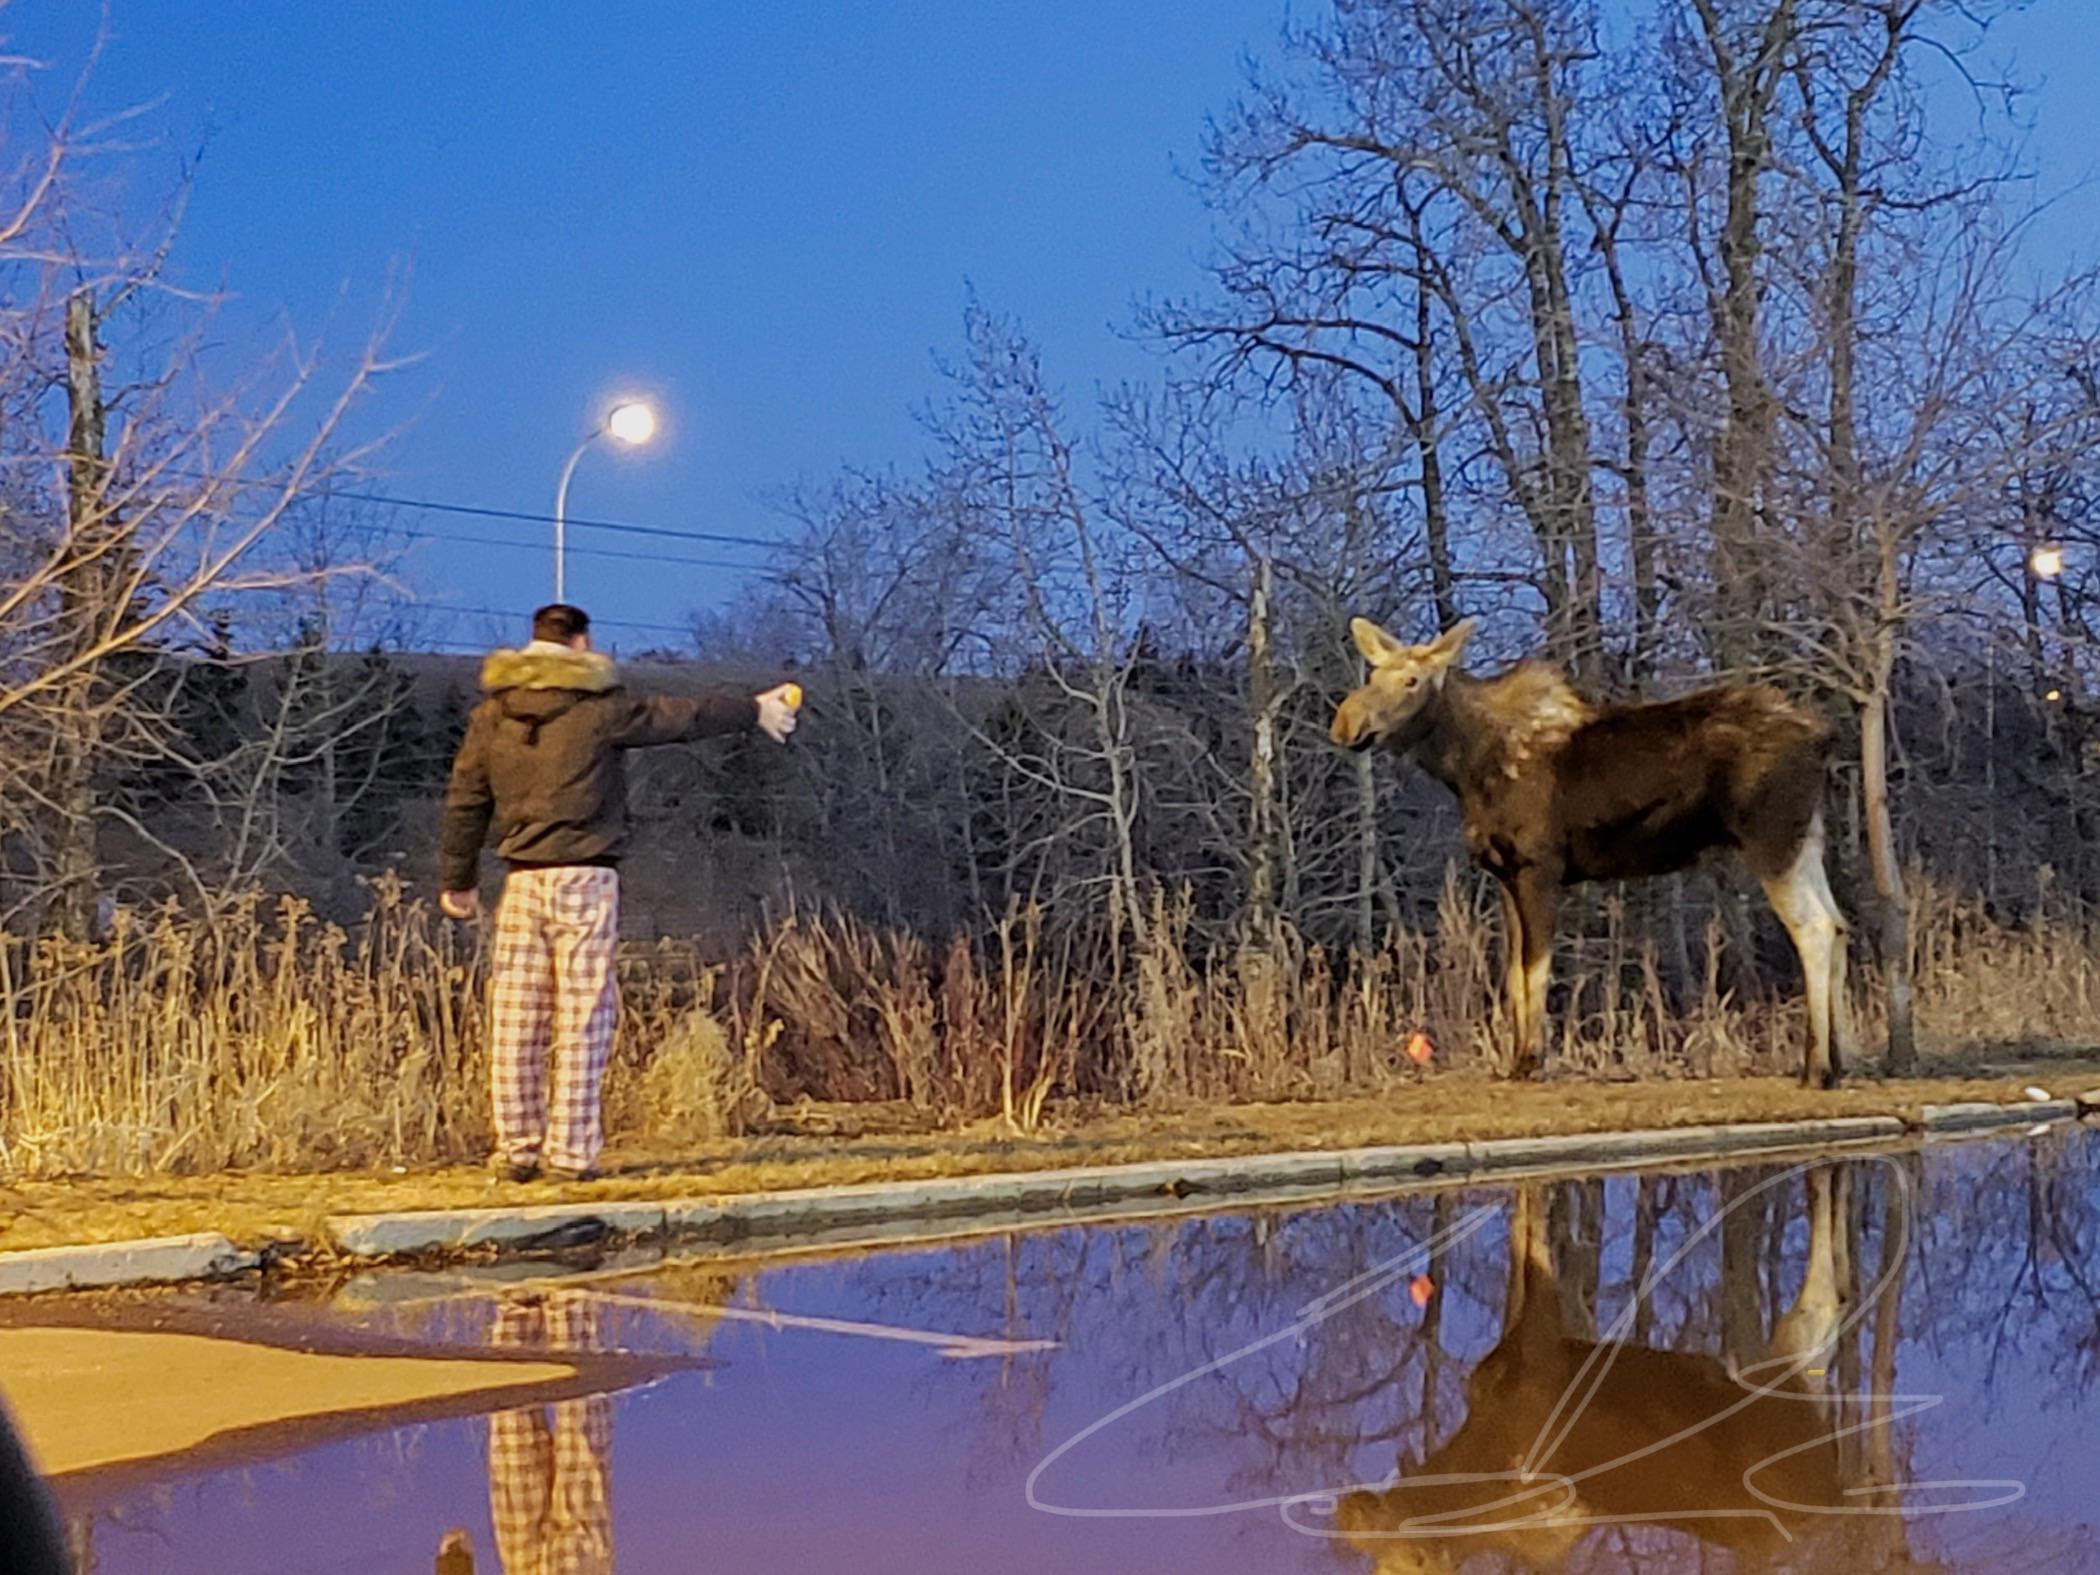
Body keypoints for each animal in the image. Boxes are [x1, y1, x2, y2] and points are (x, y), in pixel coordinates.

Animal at [1330, 617, 1853, 1086]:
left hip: (1771, 839)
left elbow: (1535, 970)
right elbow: (1514, 976)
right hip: (1808, 839)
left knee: (1814, 928)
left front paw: (1531, 1062)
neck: (1465, 770)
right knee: (1839, 923)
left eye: (1412, 680)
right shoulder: (1505, 875)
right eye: (1372, 676)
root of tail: (1824, 738)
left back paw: (1816, 1068)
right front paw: (1515, 1061)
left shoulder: (1539, 868)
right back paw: (1839, 1061)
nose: (1345, 723)